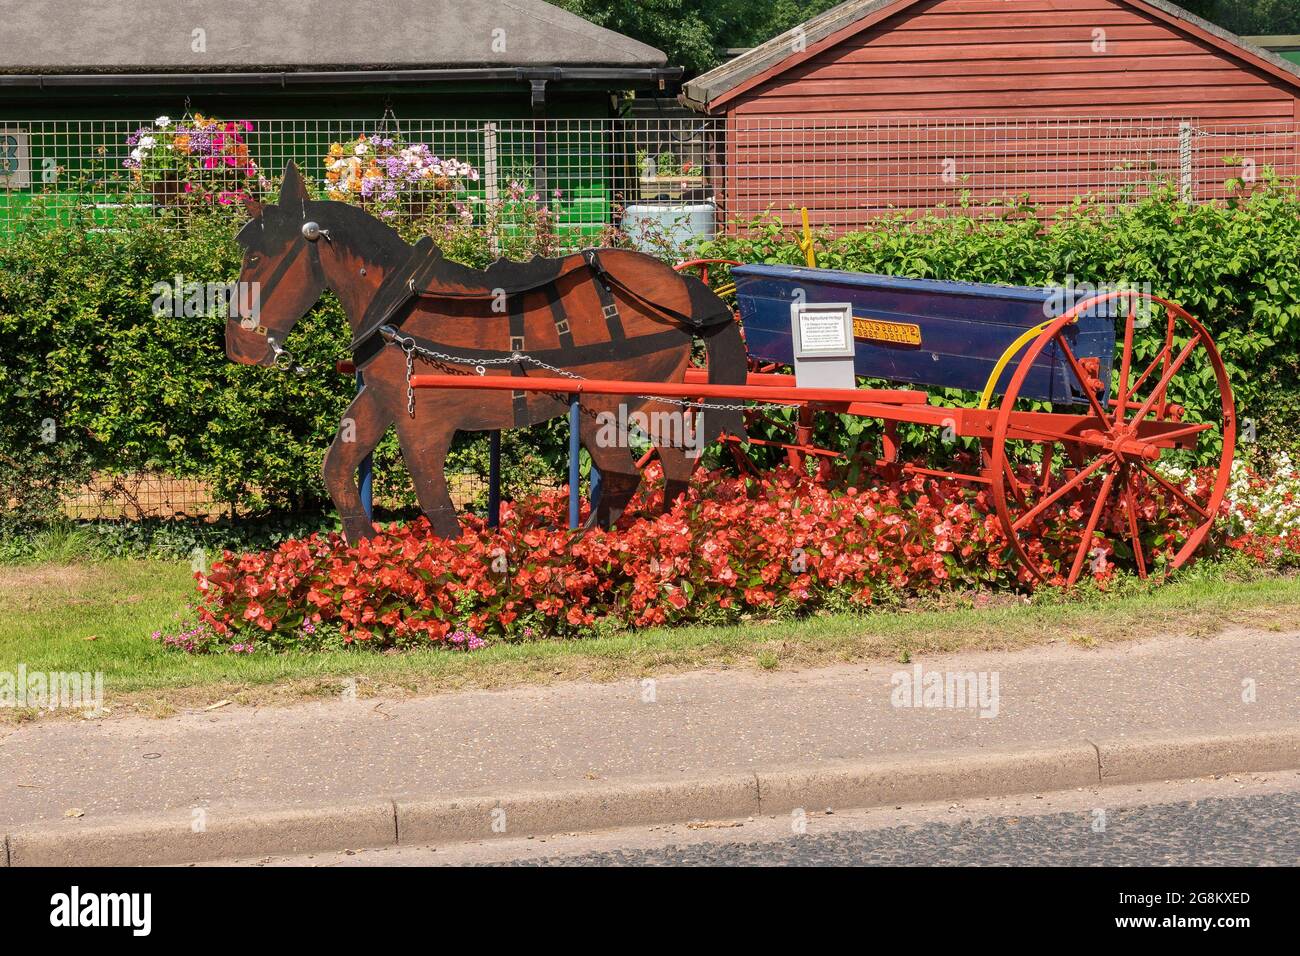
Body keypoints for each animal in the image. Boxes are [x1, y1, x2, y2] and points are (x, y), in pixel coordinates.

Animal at [224, 163, 748, 544]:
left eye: (257, 257)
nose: (238, 345)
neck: (397, 304)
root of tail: (680, 285)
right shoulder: (381, 399)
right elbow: (336, 467)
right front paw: (362, 550)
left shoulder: (424, 420)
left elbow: (434, 499)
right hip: (653, 402)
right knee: (674, 464)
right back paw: (665, 532)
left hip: (604, 404)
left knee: (625, 473)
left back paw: (588, 545)